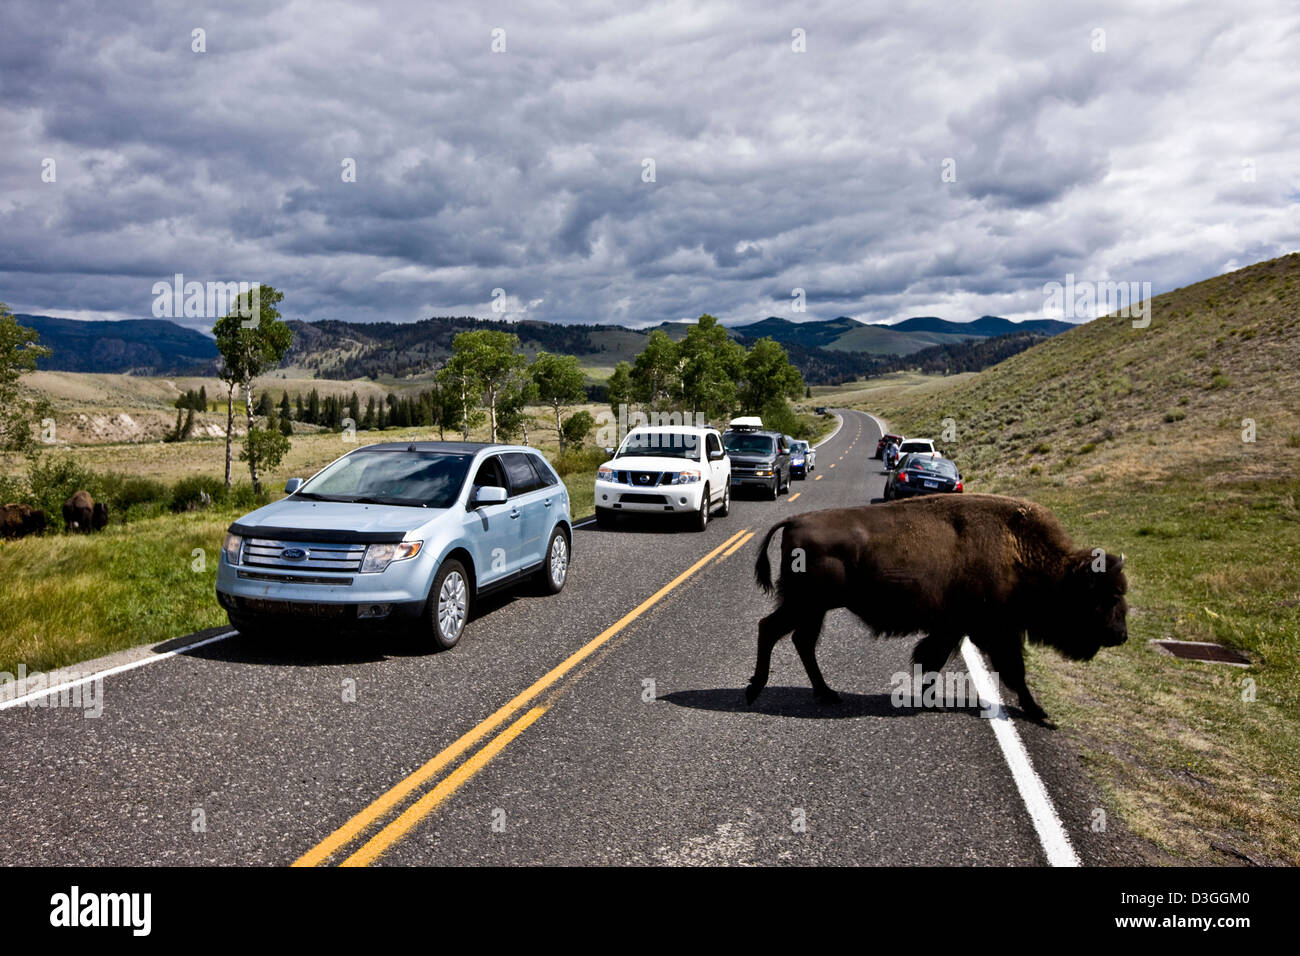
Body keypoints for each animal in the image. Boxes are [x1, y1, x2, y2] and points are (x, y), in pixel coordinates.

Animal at [749, 494, 1128, 721]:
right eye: (1106, 597)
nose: (1121, 635)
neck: (1024, 555)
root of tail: (793, 521)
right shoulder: (996, 632)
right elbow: (1013, 672)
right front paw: (1039, 712)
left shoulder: (953, 629)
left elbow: (932, 660)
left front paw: (926, 698)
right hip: (806, 604)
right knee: (771, 629)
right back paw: (756, 690)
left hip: (813, 609)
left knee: (800, 641)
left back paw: (826, 694)